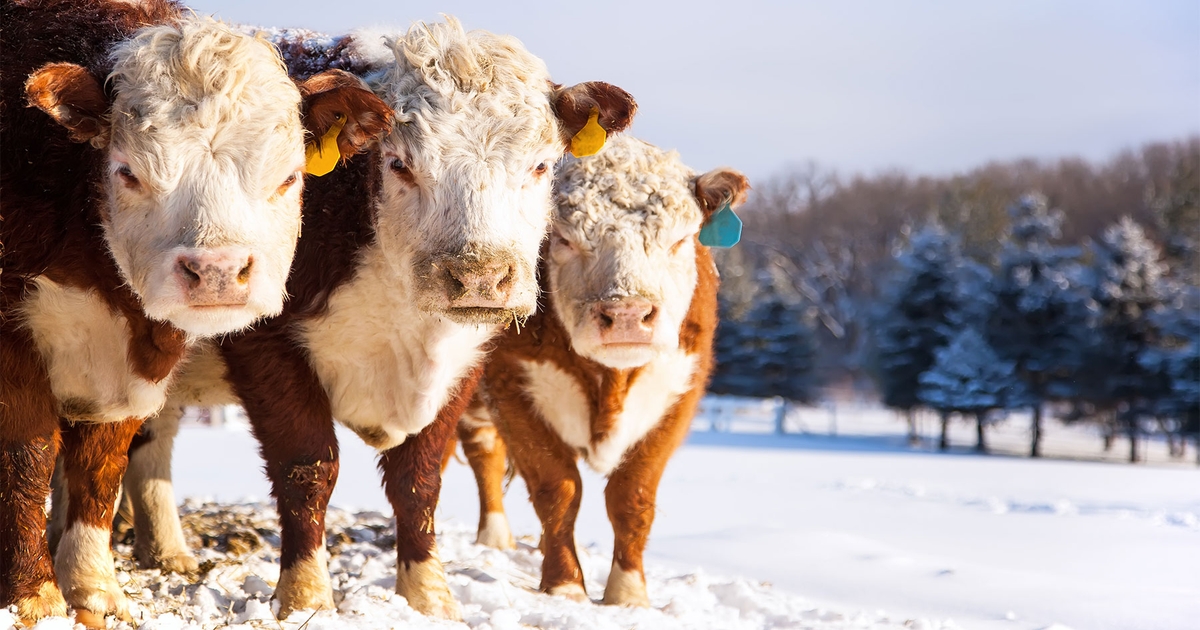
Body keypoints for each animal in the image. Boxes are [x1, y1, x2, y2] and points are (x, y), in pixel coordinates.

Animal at [1, 1, 390, 626]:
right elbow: (27, 454)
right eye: (128, 172)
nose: (217, 270)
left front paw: (91, 588)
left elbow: (101, 463)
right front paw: (35, 596)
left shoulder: (137, 360)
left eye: (289, 177)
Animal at [109, 17, 637, 620]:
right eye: (400, 163)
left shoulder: (463, 361)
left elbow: (419, 480)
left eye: (541, 164)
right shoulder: (268, 346)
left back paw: (164, 549)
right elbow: (308, 467)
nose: (480, 275)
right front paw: (305, 596)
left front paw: (428, 596)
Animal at [448, 136, 749, 606]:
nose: (626, 313)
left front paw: (628, 592)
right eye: (565, 240)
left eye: (680, 239)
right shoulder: (513, 389)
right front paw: (565, 584)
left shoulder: (679, 396)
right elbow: (558, 489)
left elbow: (631, 496)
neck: (611, 382)